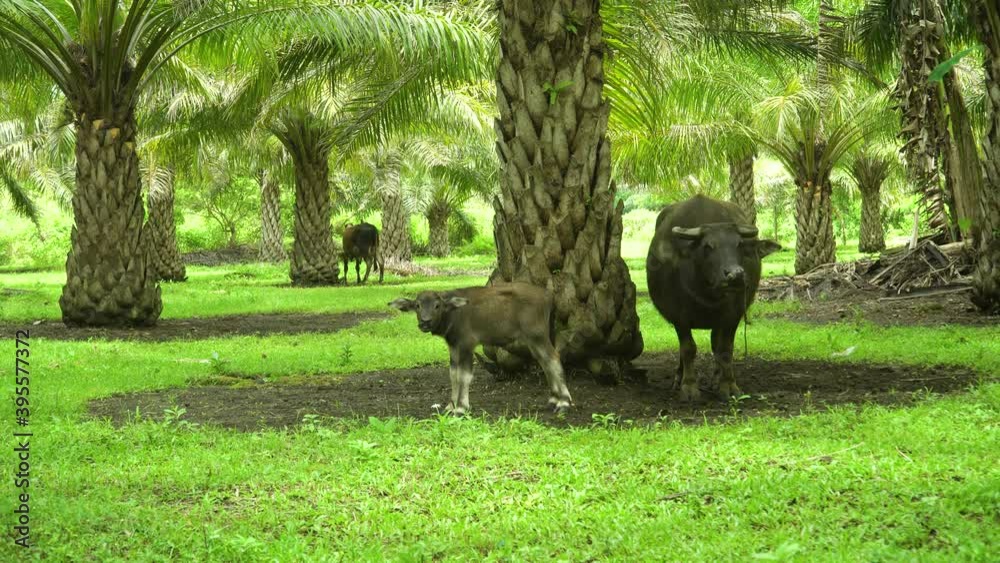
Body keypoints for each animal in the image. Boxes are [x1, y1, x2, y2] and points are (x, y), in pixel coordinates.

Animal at [389, 283, 573, 415]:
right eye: (417, 305)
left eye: (437, 305)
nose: (425, 322)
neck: (453, 313)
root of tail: (548, 295)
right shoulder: (454, 346)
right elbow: (453, 374)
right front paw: (450, 406)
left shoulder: (466, 345)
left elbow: (464, 376)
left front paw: (461, 408)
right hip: (534, 340)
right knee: (545, 362)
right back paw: (553, 399)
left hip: (537, 335)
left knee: (553, 358)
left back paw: (564, 402)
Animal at [646, 195, 781, 402]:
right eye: (708, 246)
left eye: (739, 245)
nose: (735, 275)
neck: (707, 290)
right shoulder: (679, 317)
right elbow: (688, 349)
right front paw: (688, 387)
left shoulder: (732, 316)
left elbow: (725, 350)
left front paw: (728, 386)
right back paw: (679, 378)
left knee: (716, 344)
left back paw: (716, 379)